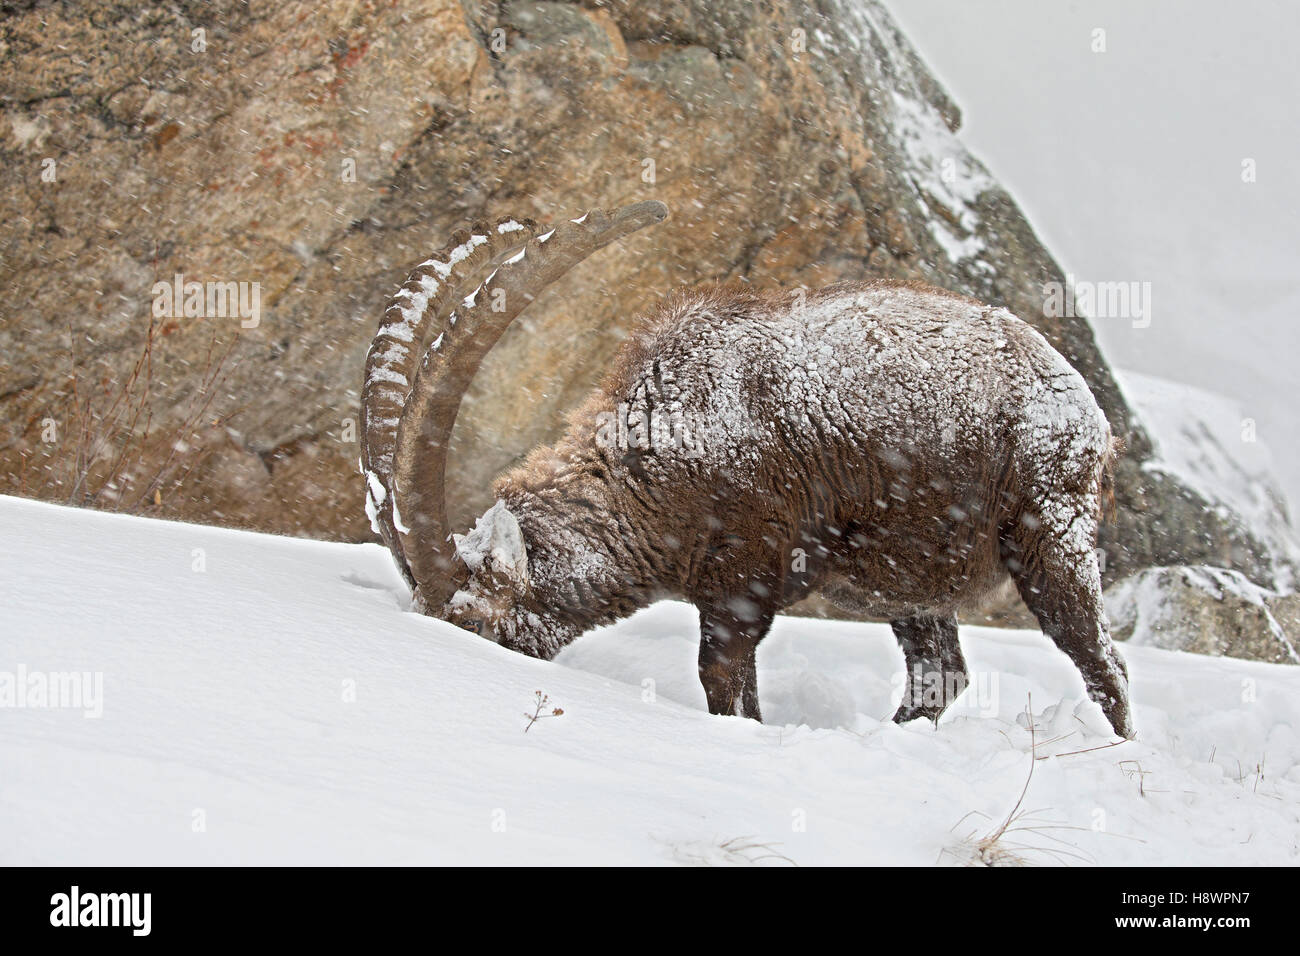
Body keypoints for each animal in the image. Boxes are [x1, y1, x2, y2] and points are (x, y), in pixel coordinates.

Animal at [360, 201, 1133, 738]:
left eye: (476, 625)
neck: (657, 457)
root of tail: (1085, 407)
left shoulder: (744, 574)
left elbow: (723, 680)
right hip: (907, 578)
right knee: (939, 673)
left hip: (1049, 527)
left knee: (1102, 663)